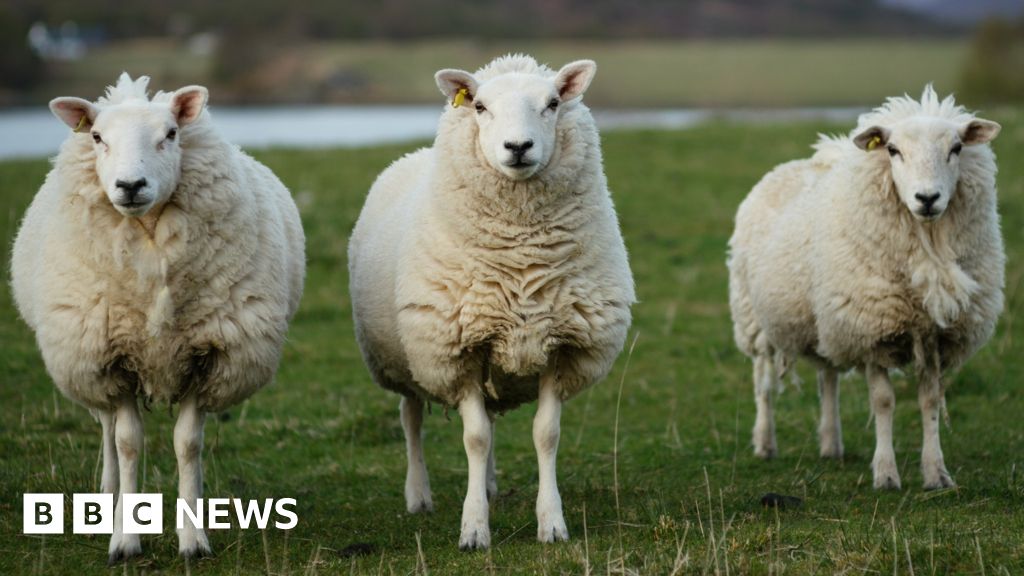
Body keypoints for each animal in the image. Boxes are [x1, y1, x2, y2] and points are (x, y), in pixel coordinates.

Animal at [11, 73, 306, 561]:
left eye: (170, 134)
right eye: (97, 137)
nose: (131, 185)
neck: (149, 244)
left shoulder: (207, 357)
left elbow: (188, 445)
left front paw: (193, 538)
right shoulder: (113, 359)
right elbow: (127, 443)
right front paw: (125, 539)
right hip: (89, 360)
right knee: (108, 429)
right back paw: (107, 496)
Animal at [348, 54, 635, 549]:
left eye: (553, 102)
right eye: (480, 106)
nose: (517, 146)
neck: (520, 256)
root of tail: (411, 156)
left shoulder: (559, 344)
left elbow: (545, 434)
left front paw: (551, 523)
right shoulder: (458, 348)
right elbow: (475, 438)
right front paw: (474, 529)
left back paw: (489, 485)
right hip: (406, 357)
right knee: (410, 418)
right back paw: (419, 495)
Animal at [728, 85, 1004, 490]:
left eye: (956, 148)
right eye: (892, 150)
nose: (927, 198)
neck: (929, 250)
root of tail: (796, 164)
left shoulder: (934, 336)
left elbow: (929, 402)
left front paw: (936, 473)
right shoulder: (872, 329)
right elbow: (884, 402)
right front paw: (886, 474)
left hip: (825, 319)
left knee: (827, 378)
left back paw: (831, 443)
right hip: (755, 318)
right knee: (763, 382)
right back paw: (765, 442)